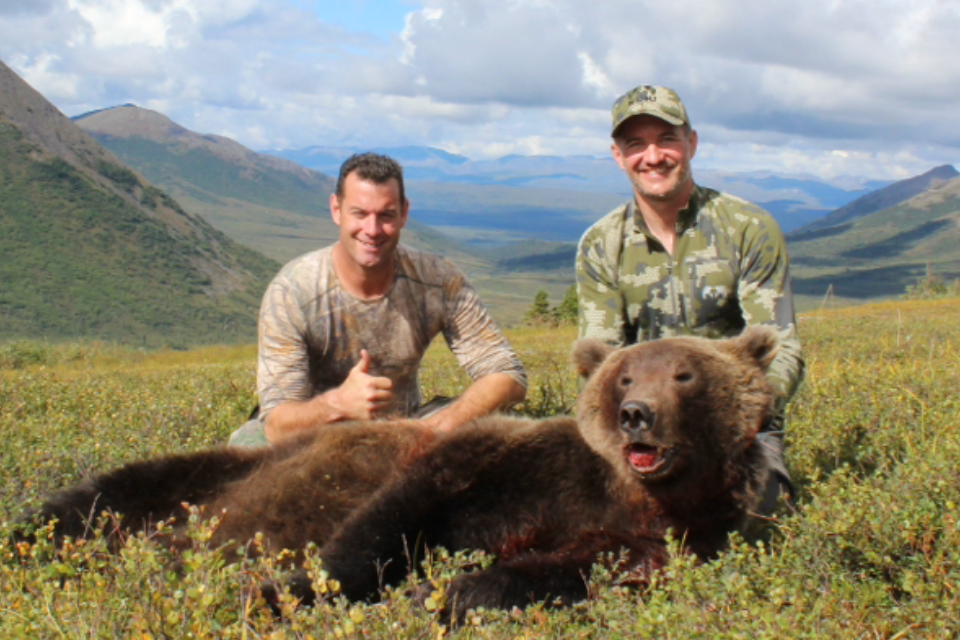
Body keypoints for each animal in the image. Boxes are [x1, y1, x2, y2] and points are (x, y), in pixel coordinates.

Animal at [19, 326, 780, 623]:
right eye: (626, 373)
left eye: (684, 374)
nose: (635, 416)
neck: (627, 491)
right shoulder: (502, 463)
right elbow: (387, 523)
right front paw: (279, 591)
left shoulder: (660, 537)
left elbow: (564, 571)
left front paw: (445, 593)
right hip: (215, 472)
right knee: (97, 496)